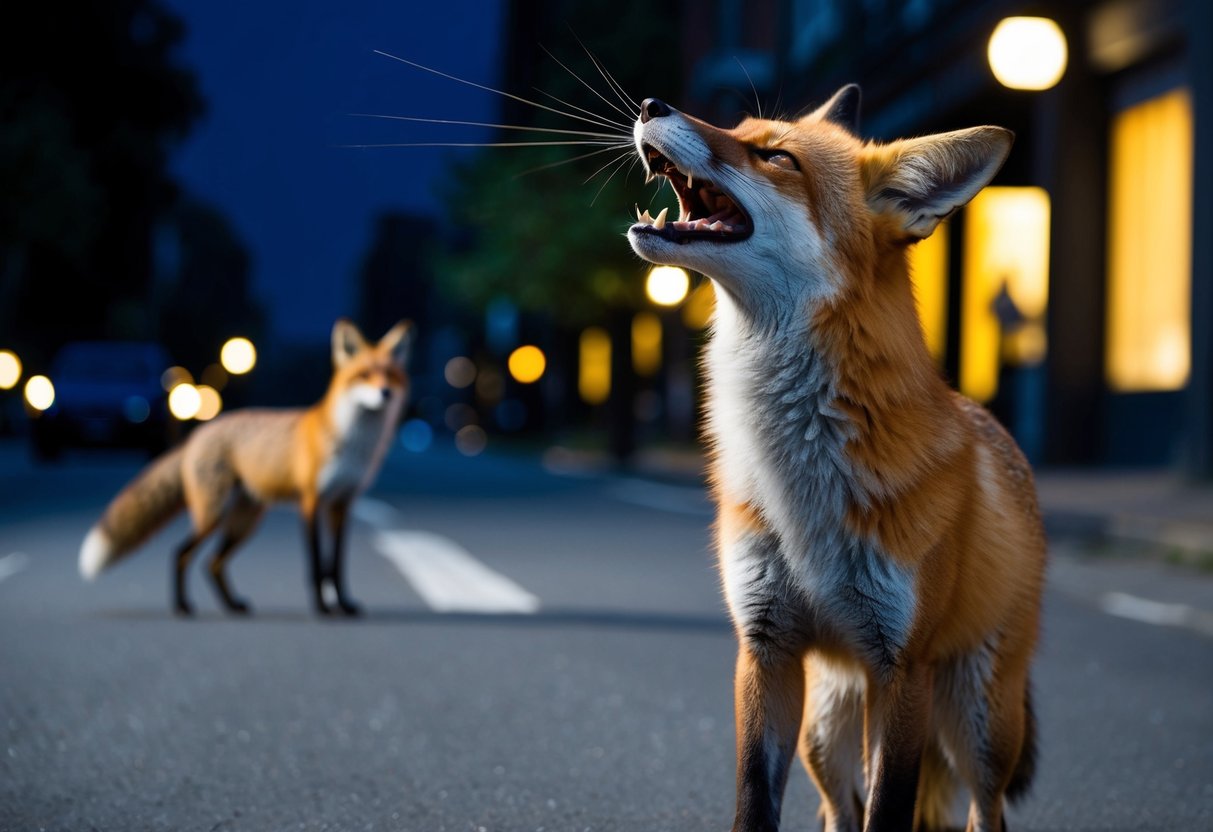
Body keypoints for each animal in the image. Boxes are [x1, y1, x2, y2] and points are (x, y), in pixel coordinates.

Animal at [78, 319, 413, 617]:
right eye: (364, 375)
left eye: (390, 375)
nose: (385, 393)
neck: (353, 442)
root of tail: (197, 435)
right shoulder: (311, 501)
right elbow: (317, 567)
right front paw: (323, 609)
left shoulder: (342, 504)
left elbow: (336, 568)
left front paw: (344, 606)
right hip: (214, 514)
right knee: (181, 554)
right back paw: (183, 607)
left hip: (245, 521)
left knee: (212, 563)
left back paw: (232, 606)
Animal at [627, 87, 1045, 832]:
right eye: (736, 127)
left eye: (776, 157)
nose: (650, 103)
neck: (803, 488)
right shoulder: (766, 646)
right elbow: (754, 802)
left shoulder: (900, 668)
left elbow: (890, 810)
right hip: (824, 728)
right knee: (837, 809)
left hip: (976, 724)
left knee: (984, 810)